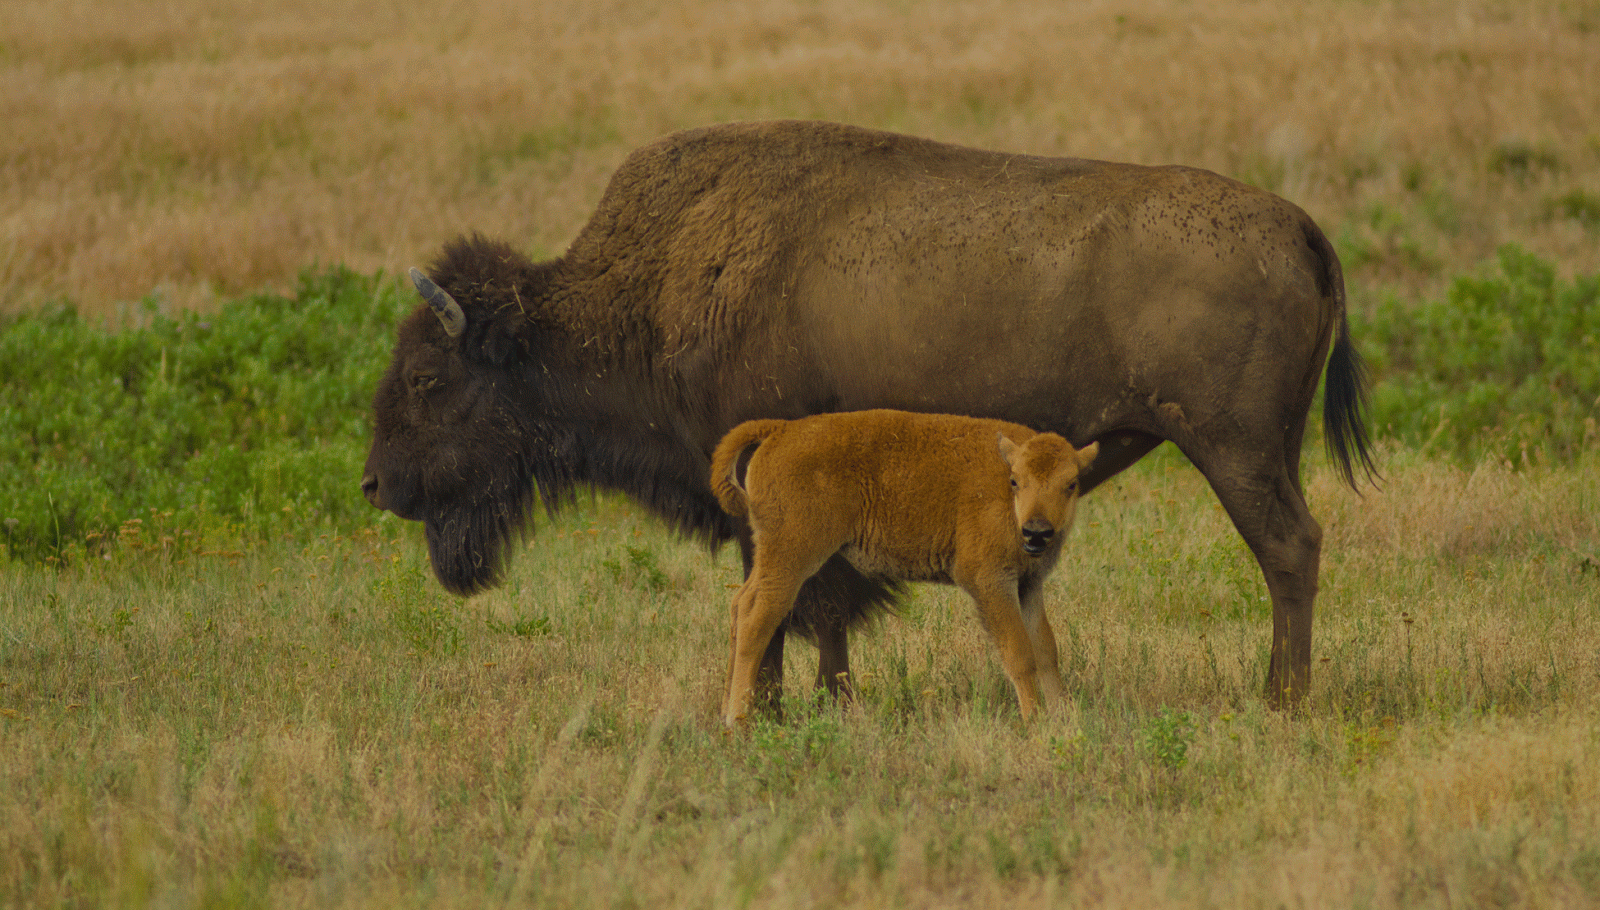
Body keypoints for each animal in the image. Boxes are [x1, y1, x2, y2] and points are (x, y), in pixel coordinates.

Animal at [362, 119, 1374, 709]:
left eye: (427, 380)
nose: (377, 484)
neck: (653, 293)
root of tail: (1297, 225)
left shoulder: (764, 491)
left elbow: (793, 601)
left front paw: (786, 705)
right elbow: (816, 601)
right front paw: (824, 699)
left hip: (1234, 450)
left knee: (1289, 548)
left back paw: (1281, 698)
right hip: (1266, 449)